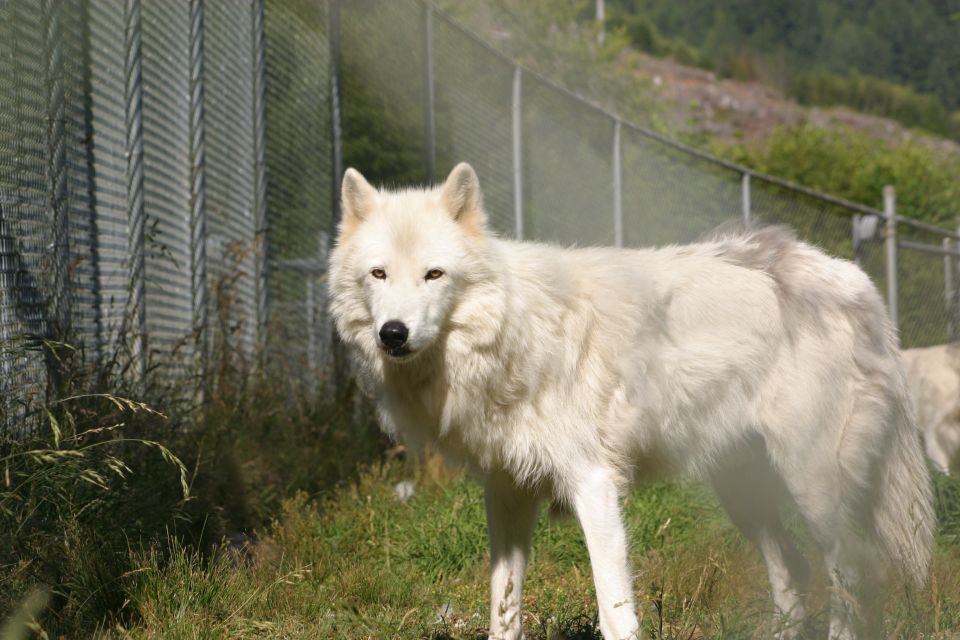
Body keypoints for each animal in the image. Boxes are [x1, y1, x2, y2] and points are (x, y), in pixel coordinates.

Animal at [328, 163, 934, 640]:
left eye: (434, 274)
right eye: (379, 274)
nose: (393, 334)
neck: (512, 332)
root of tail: (855, 282)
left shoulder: (594, 485)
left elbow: (615, 613)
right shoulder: (507, 493)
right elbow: (503, 611)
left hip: (813, 488)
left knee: (852, 573)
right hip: (745, 494)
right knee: (793, 571)